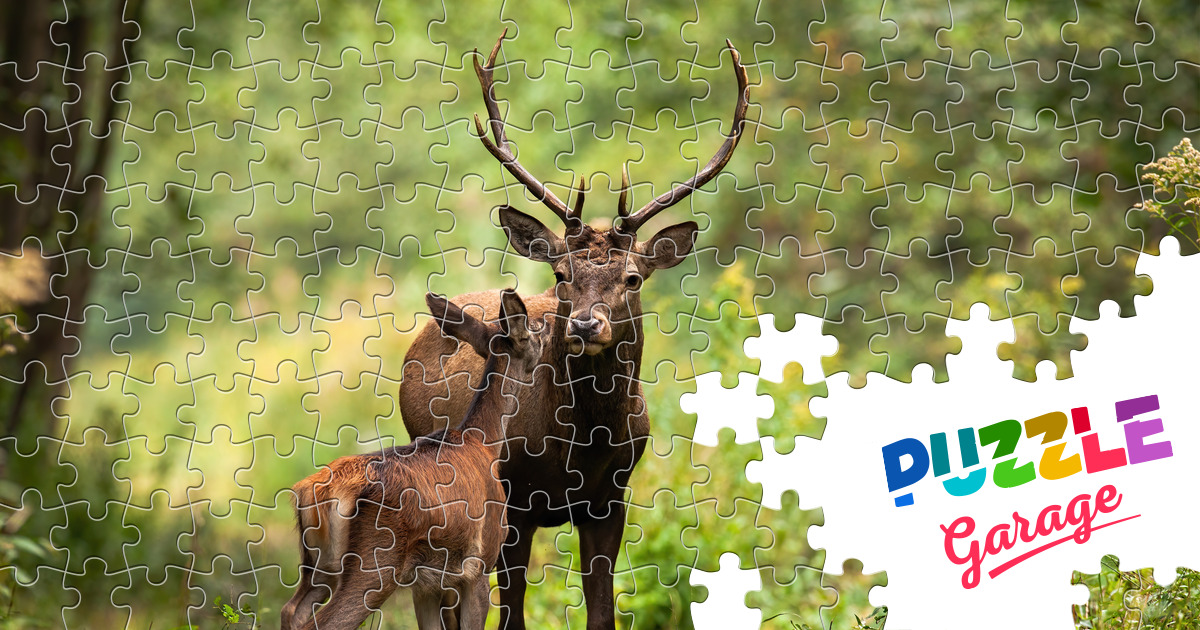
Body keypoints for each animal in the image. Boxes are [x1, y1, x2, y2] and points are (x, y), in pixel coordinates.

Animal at [281, 289, 563, 630]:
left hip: (318, 566)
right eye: (534, 330)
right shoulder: (481, 562)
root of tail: (312, 493)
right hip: (374, 563)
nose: (550, 330)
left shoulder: (425, 582)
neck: (485, 443)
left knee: (291, 610)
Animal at [398, 31, 750, 630]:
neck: (579, 444)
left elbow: (602, 613)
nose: (587, 323)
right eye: (562, 275)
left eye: (632, 277)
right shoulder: (513, 503)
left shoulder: (611, 498)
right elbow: (512, 616)